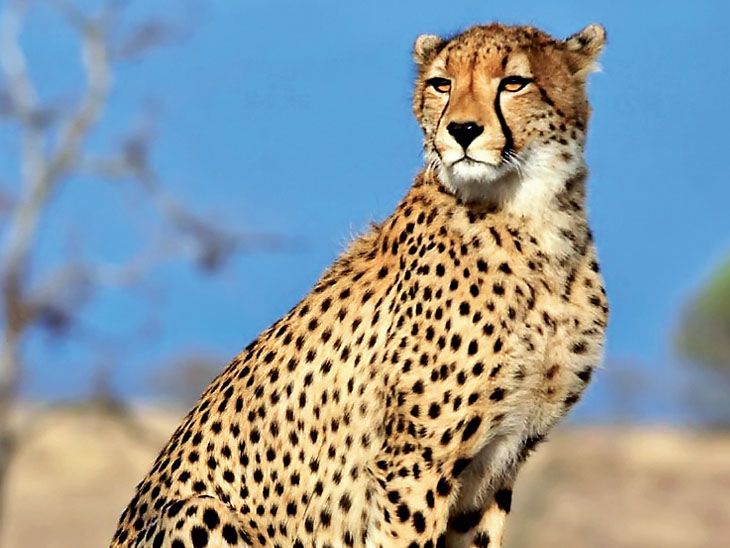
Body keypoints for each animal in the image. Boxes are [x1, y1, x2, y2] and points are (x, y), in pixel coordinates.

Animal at [110, 21, 609, 548]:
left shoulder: (499, 460)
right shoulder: (416, 460)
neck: (535, 220)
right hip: (200, 509)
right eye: (442, 84)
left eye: (514, 82)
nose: (462, 130)